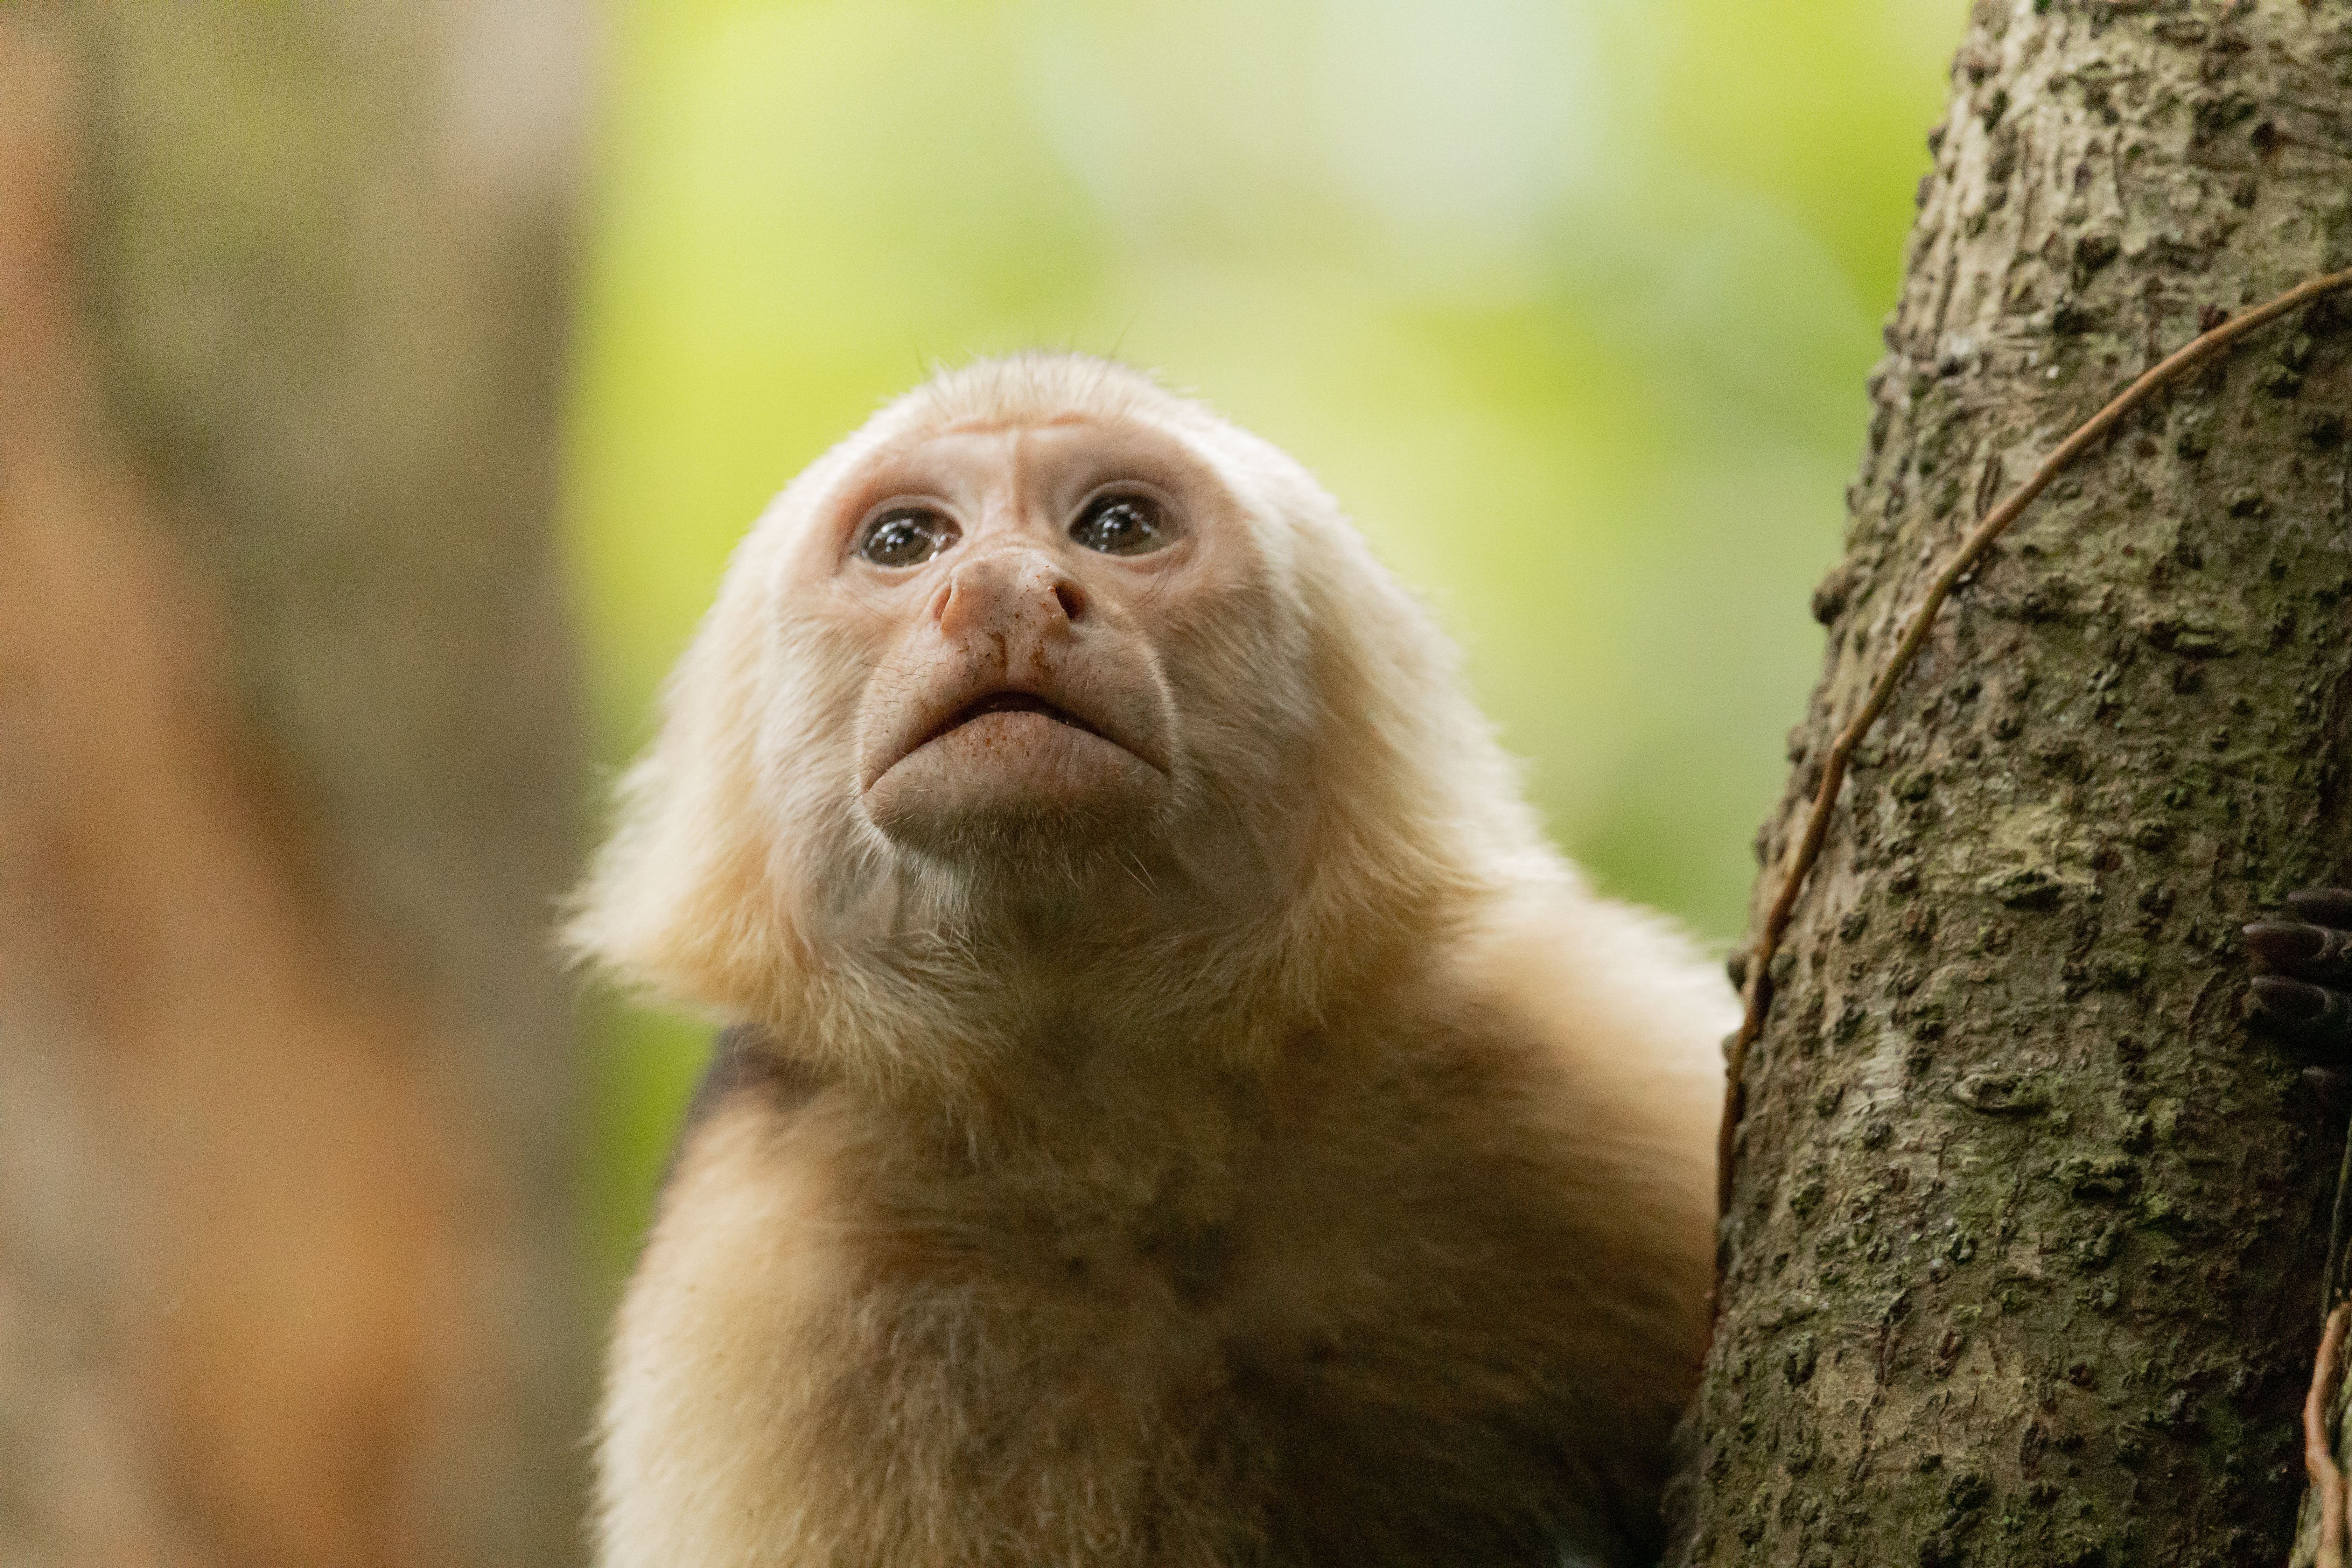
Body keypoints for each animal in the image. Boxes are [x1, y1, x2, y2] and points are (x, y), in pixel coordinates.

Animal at [567, 352, 1734, 1568]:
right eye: (905, 541)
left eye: (1118, 526)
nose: (1003, 589)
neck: (1122, 1151)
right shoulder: (762, 1273)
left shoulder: (1548, 1049)